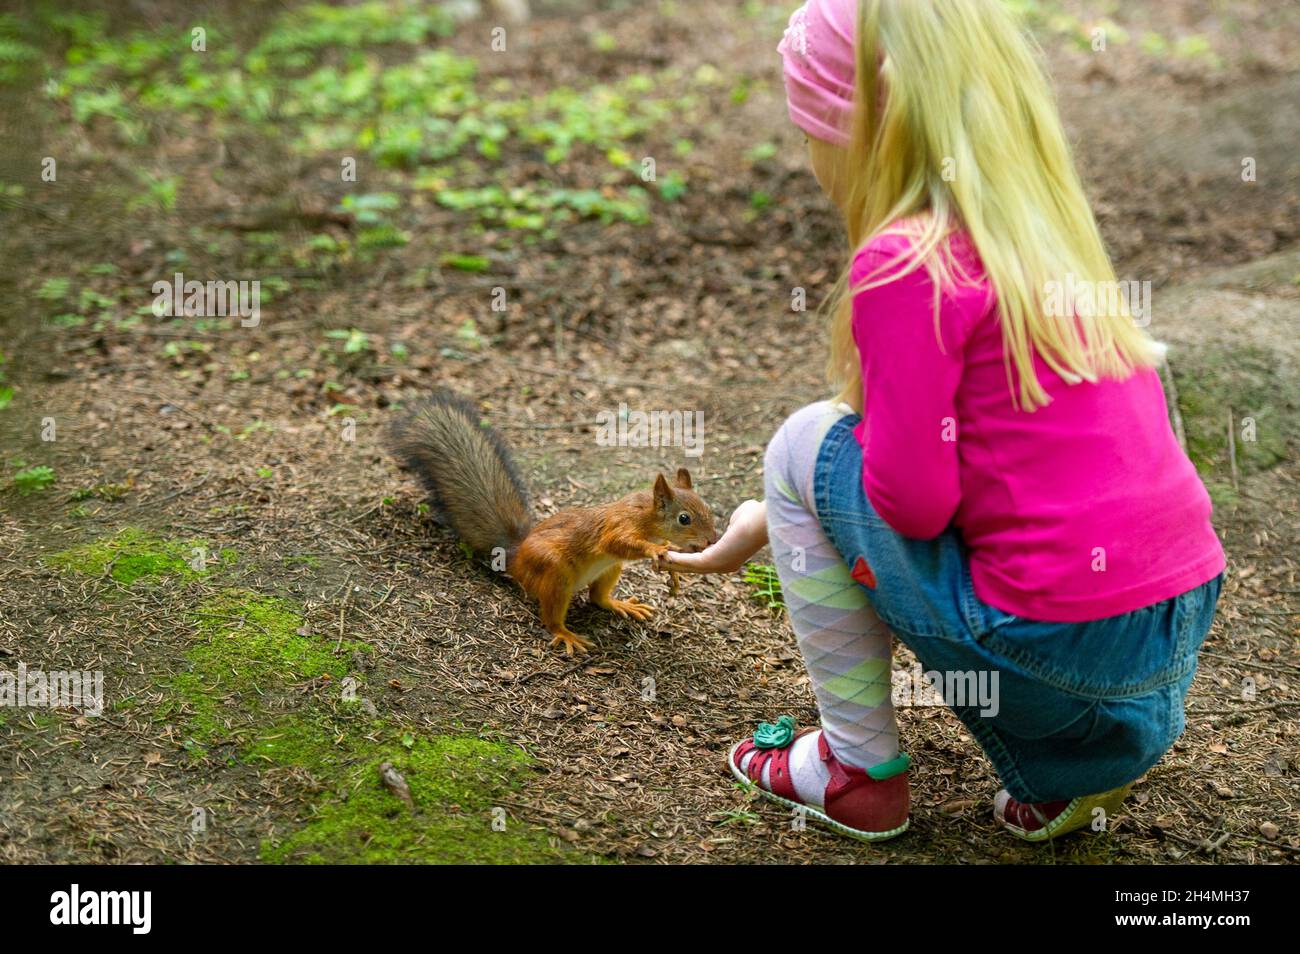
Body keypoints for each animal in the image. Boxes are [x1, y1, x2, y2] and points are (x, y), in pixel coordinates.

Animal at [391, 389, 719, 655]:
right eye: (684, 518)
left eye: (709, 508)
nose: (712, 541)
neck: (647, 515)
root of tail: (515, 557)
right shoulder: (618, 524)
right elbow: (618, 542)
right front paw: (656, 551)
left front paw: (672, 571)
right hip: (555, 572)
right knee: (549, 617)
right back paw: (565, 634)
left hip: (609, 568)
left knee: (597, 597)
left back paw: (619, 604)